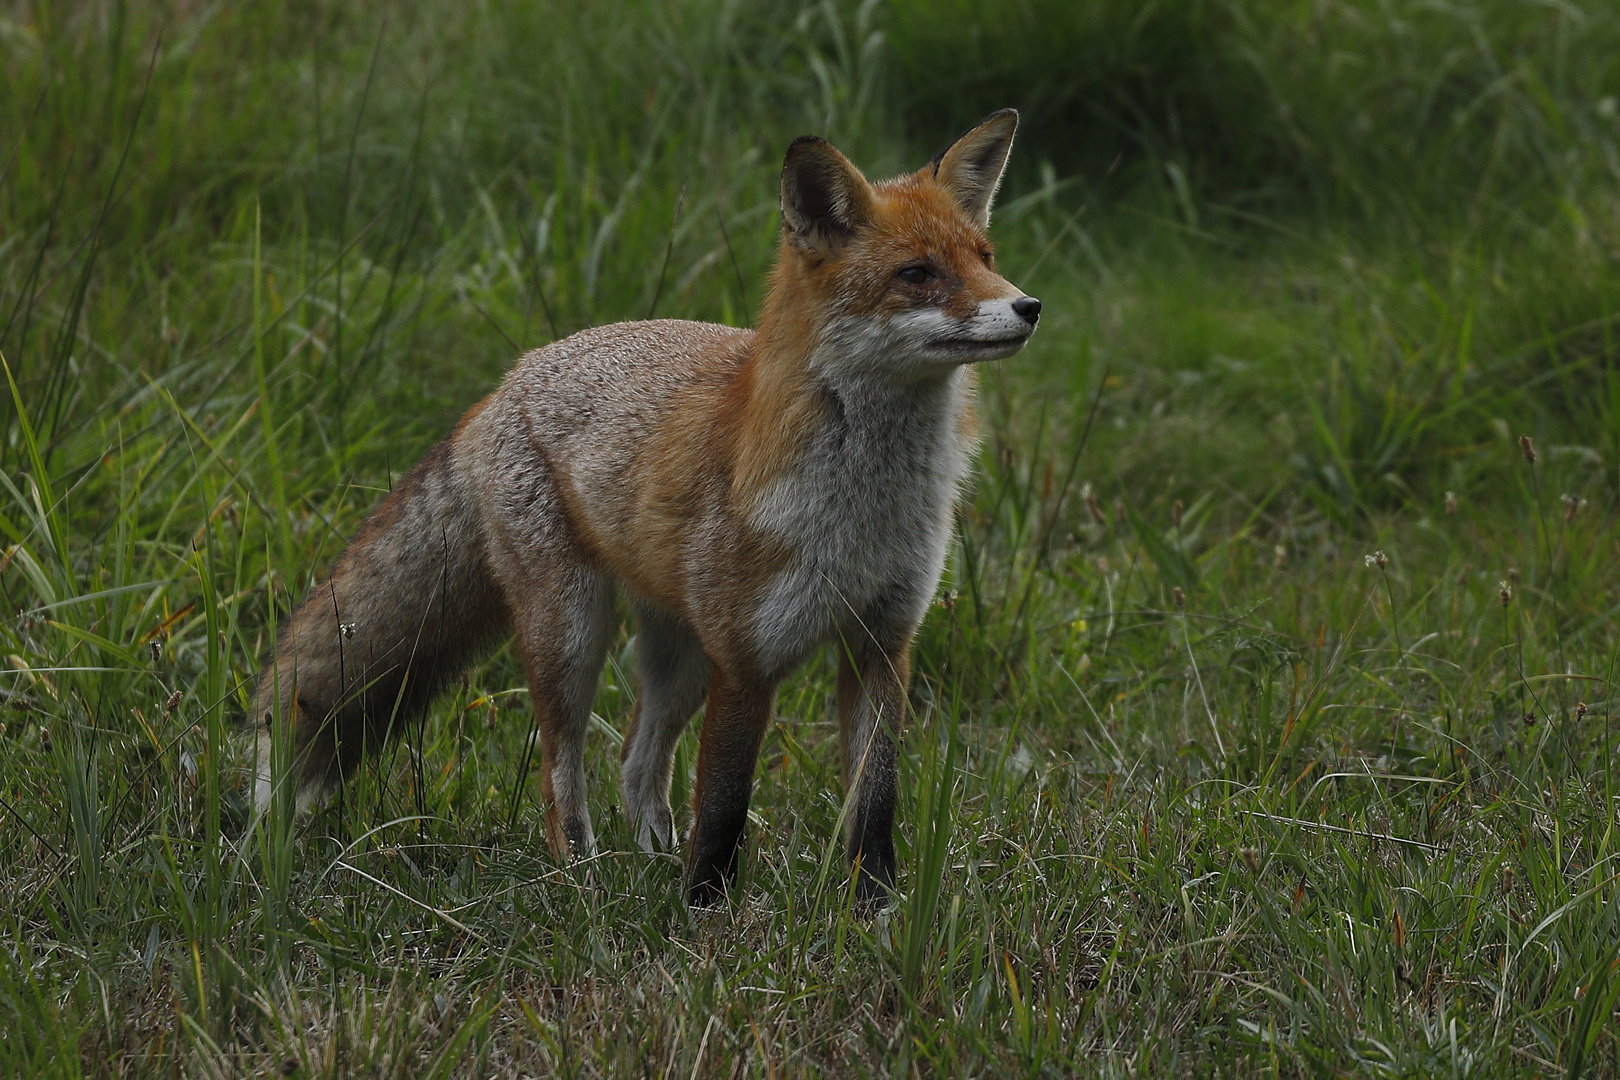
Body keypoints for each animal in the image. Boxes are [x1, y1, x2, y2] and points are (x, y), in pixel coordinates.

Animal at [249, 107, 1036, 906]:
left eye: (985, 256)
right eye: (918, 274)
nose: (1028, 307)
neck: (863, 513)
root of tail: (504, 384)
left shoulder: (881, 645)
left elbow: (874, 806)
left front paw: (874, 909)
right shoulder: (746, 661)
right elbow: (722, 809)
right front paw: (707, 914)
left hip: (677, 656)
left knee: (636, 761)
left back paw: (652, 860)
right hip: (572, 638)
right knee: (560, 770)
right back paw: (584, 880)